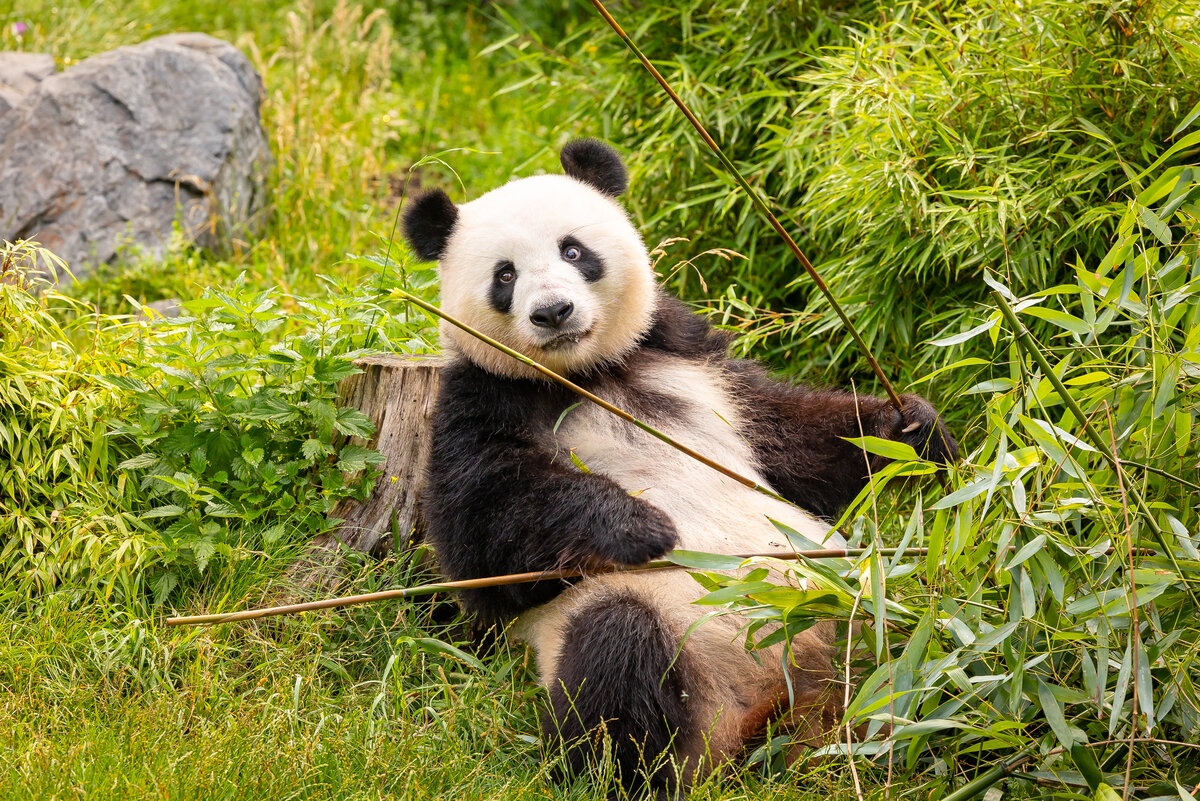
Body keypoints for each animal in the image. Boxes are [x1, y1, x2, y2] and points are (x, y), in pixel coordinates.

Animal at [403, 139, 957, 798]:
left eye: (573, 250)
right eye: (505, 275)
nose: (554, 312)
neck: (587, 373)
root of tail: (779, 710)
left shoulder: (689, 354)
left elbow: (793, 438)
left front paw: (915, 429)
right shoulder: (481, 398)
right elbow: (483, 544)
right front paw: (639, 524)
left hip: (864, 613)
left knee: (931, 645)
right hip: (683, 656)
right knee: (618, 660)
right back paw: (633, 776)